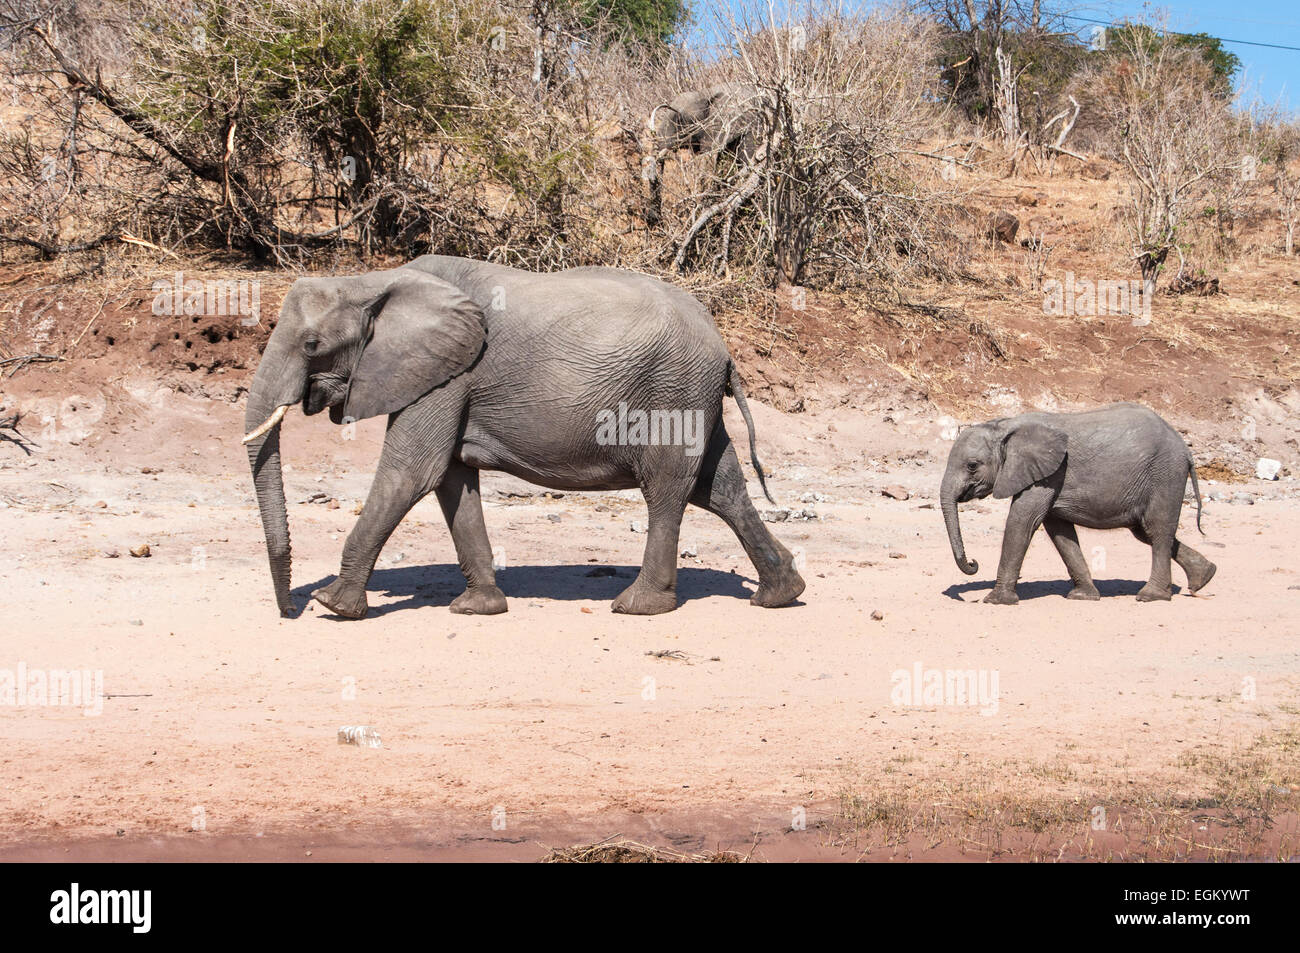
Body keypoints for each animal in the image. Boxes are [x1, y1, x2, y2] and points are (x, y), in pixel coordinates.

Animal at [243, 255, 807, 619]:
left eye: (311, 344)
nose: (288, 611)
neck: (374, 280)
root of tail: (723, 347)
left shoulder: (449, 376)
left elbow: (412, 473)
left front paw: (333, 606)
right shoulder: (445, 377)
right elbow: (451, 480)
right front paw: (479, 609)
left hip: (672, 391)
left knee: (669, 490)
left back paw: (637, 608)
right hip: (692, 395)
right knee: (720, 487)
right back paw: (779, 594)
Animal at [940, 403, 1216, 605]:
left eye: (972, 466)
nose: (973, 563)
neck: (1004, 426)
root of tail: (1186, 450)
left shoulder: (1047, 474)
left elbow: (1022, 521)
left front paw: (995, 601)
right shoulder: (1048, 476)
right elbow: (1059, 531)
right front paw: (1083, 597)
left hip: (1165, 474)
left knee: (1156, 530)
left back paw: (1151, 596)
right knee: (1145, 532)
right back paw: (1204, 577)